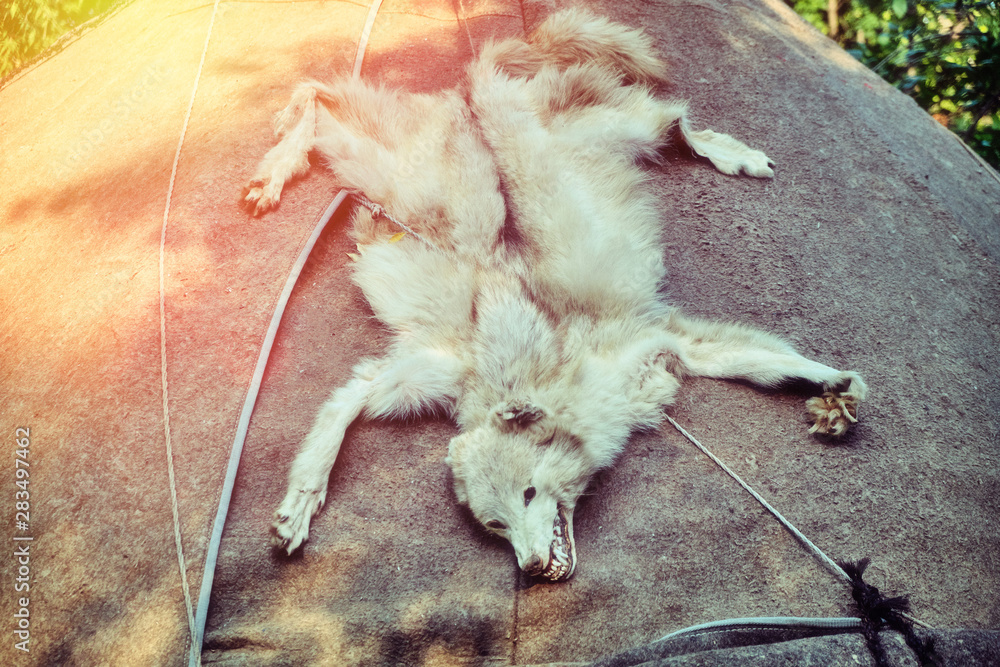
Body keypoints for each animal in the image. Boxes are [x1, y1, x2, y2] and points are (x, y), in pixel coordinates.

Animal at [244, 9, 867, 581]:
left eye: (527, 495)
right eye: (494, 525)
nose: (532, 568)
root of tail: (480, 79)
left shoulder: (664, 340)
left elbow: (771, 363)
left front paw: (838, 388)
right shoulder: (413, 373)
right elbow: (338, 412)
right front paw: (302, 500)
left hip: (585, 135)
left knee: (674, 119)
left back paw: (738, 157)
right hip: (375, 164)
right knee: (319, 95)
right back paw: (271, 172)